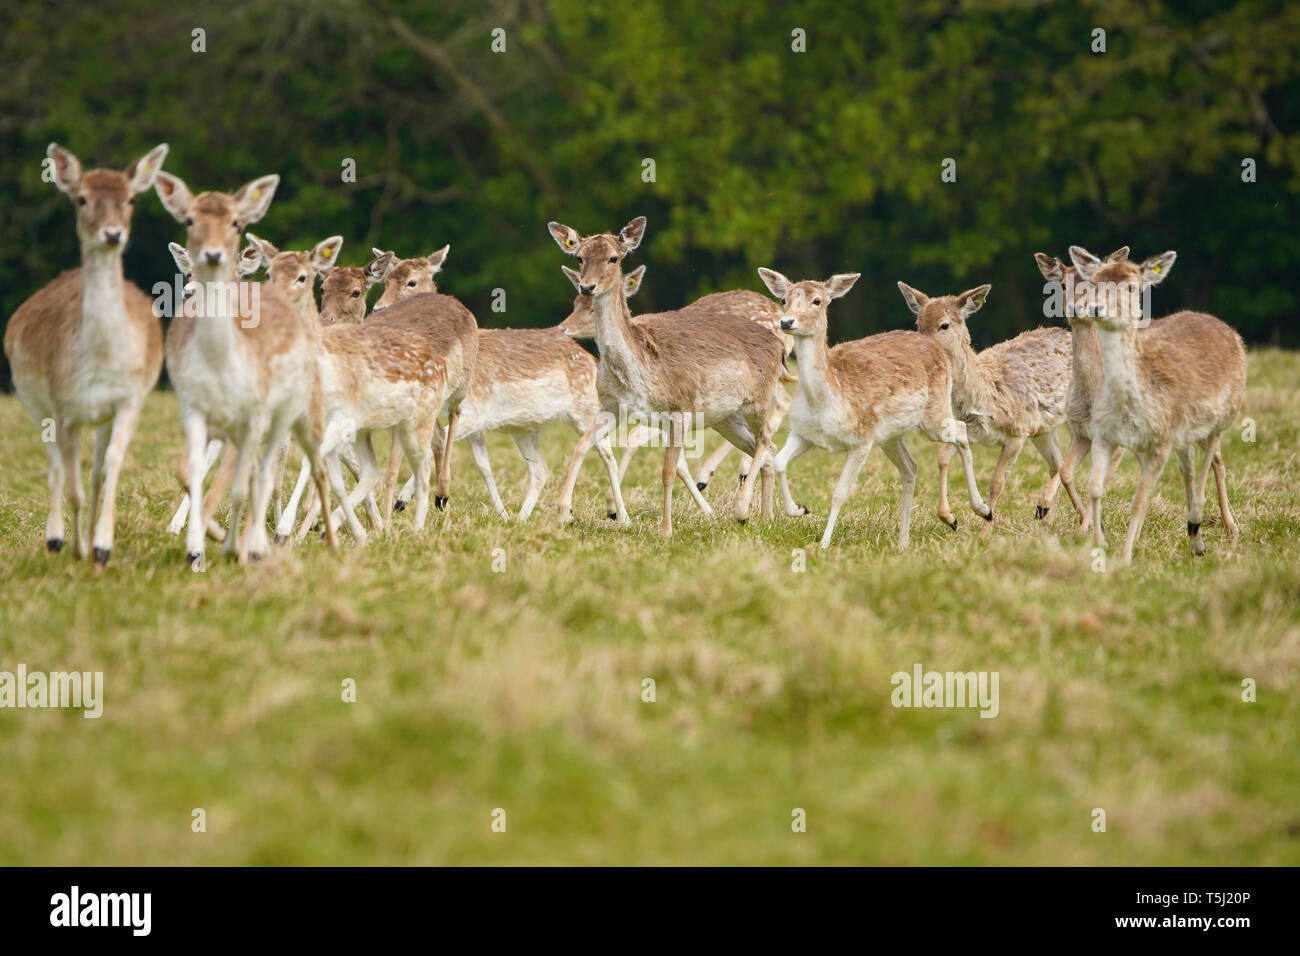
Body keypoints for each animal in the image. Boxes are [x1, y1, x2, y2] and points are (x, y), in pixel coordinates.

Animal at [4, 142, 169, 564]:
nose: (112, 233)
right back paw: (56, 539)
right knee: (54, 467)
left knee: (93, 472)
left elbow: (109, 468)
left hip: (100, 416)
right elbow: (71, 482)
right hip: (32, 400)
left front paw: (102, 545)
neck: (100, 361)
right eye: (81, 199)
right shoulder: (63, 407)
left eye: (131, 199)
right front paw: (76, 546)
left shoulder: (129, 399)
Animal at [548, 217, 786, 537]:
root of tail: (781, 345)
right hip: (726, 417)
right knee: (769, 450)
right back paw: (765, 517)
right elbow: (582, 444)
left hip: (757, 399)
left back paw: (742, 509)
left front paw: (665, 530)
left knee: (766, 440)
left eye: (614, 258)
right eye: (579, 257)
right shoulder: (612, 406)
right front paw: (563, 513)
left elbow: (668, 470)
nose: (587, 286)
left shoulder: (679, 408)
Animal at [758, 268, 991, 549]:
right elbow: (779, 462)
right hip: (890, 436)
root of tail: (936, 347)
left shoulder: (862, 438)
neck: (825, 400)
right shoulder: (804, 432)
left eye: (817, 301)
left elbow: (839, 493)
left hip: (934, 416)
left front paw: (823, 543)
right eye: (785, 299)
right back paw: (904, 542)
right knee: (911, 467)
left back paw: (980, 510)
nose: (786, 322)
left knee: (960, 430)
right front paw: (798, 509)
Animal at [895, 281, 1071, 523]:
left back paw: (1049, 506)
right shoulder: (974, 429)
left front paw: (987, 522)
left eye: (944, 325)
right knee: (1058, 463)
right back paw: (1060, 517)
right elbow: (942, 456)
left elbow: (996, 482)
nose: (921, 348)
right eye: (918, 323)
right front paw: (949, 517)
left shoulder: (1019, 430)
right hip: (1044, 429)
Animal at [1066, 246, 1246, 563]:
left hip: (1223, 416)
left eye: (1131, 287)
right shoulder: (1104, 434)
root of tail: (1227, 328)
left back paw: (1214, 527)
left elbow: (1138, 500)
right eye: (1095, 282)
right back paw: (1195, 538)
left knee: (1213, 462)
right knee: (1189, 467)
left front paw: (1125, 558)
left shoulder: (1161, 441)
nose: (1095, 309)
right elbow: (1095, 487)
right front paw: (1100, 545)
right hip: (1184, 435)